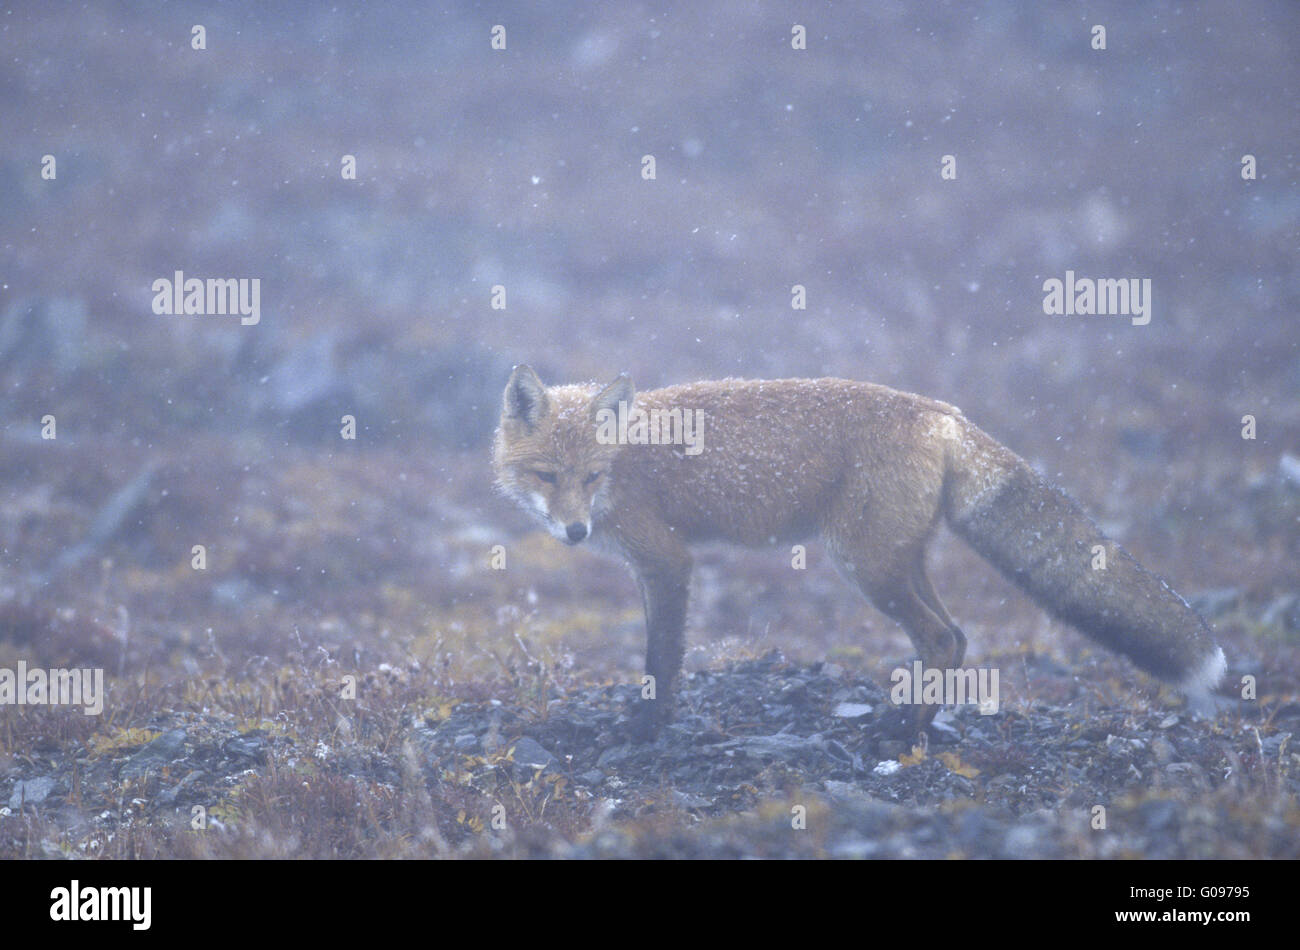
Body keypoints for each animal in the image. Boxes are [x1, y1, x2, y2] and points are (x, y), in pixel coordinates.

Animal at [492, 365, 1226, 740]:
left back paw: (900, 735)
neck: (629, 460)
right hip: (899, 562)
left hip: (865, 567)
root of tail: (943, 412)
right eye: (547, 477)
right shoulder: (650, 567)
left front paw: (649, 730)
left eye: (591, 477)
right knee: (958, 637)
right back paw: (915, 724)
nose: (575, 532)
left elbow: (660, 659)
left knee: (940, 639)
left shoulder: (667, 562)